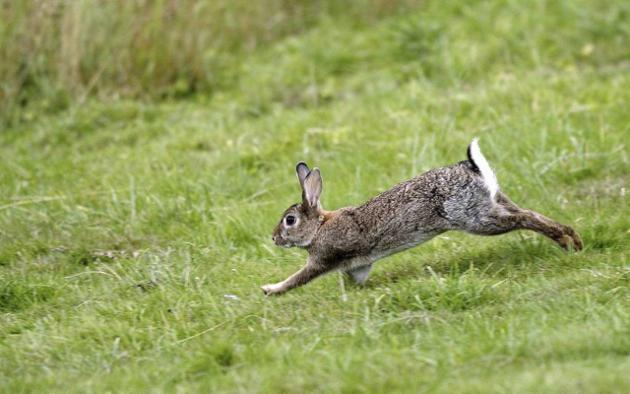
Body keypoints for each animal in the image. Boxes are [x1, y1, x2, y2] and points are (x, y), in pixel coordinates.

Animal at [262, 139, 584, 296]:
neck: (319, 227)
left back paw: (566, 241)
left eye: (289, 220)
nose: (274, 238)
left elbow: (298, 278)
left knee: (524, 218)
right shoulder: (359, 265)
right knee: (527, 213)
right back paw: (573, 240)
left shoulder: (322, 259)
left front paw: (270, 290)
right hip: (493, 203)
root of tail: (470, 167)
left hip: (475, 218)